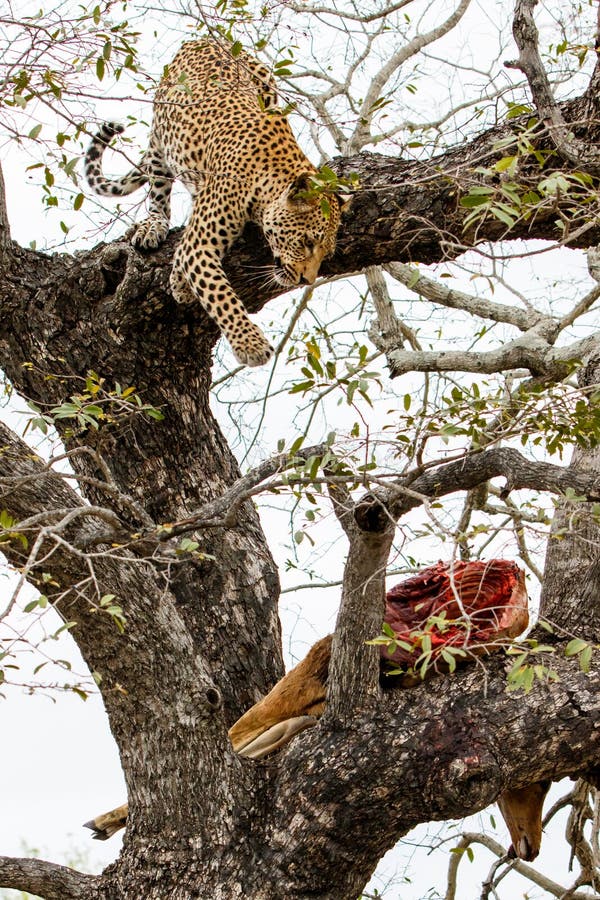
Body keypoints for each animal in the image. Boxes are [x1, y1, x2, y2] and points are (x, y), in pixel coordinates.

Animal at [85, 39, 343, 366]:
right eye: (307, 242)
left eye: (326, 252)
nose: (306, 280)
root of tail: (200, 40)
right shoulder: (199, 246)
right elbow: (219, 293)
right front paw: (251, 345)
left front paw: (180, 282)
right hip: (160, 139)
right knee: (158, 191)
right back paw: (153, 226)